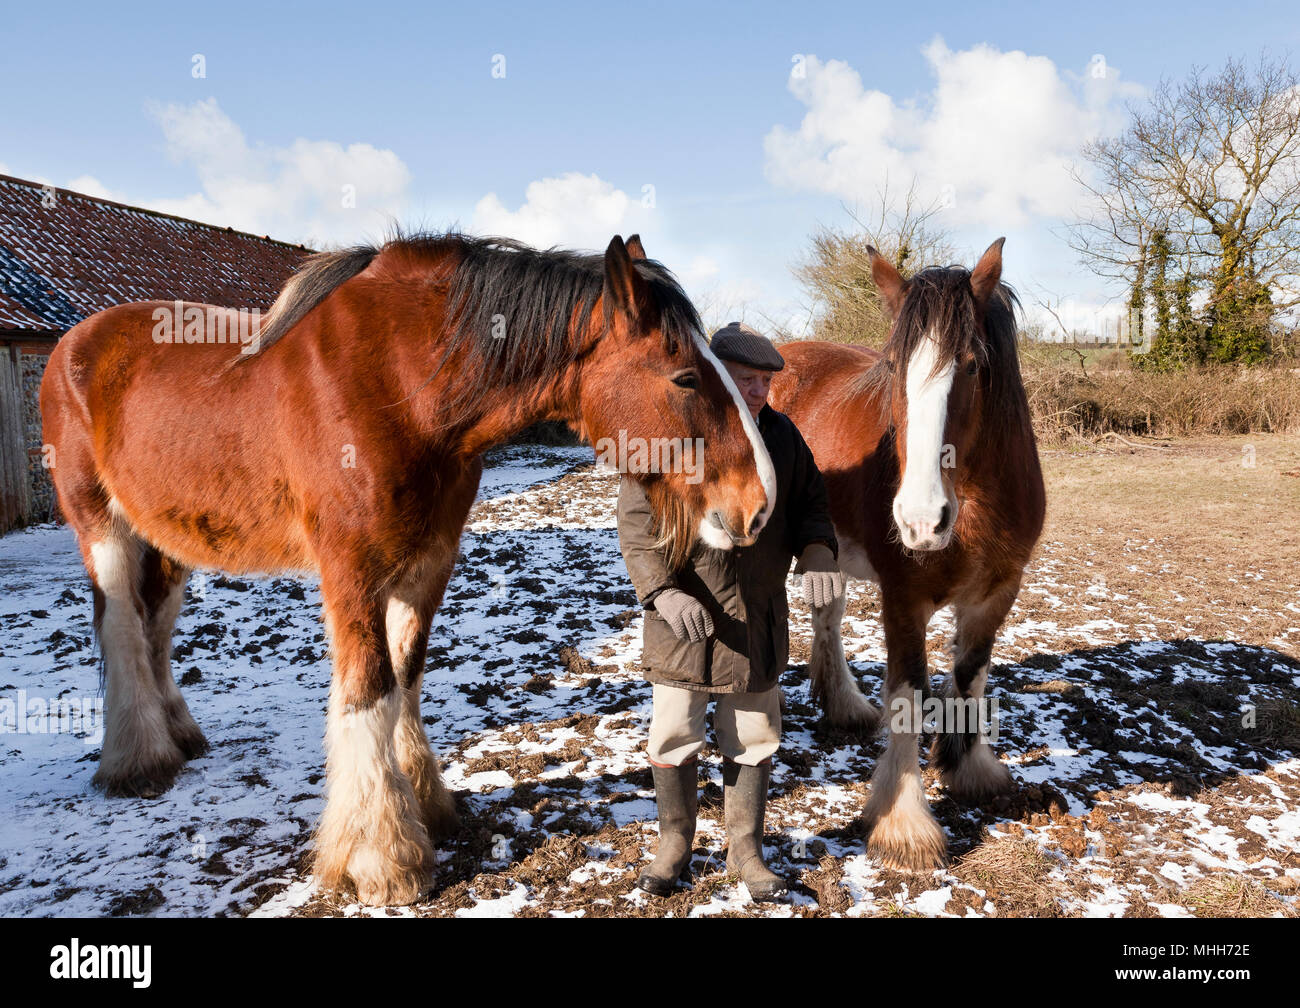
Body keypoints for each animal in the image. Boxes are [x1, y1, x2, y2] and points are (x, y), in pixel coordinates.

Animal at [40, 231, 777, 905]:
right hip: (102, 528)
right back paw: (137, 760)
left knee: (155, 628)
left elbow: (406, 676)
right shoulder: (351, 572)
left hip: (169, 540)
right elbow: (369, 690)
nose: (760, 504)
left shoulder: (426, 564)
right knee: (120, 628)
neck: (398, 388)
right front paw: (381, 858)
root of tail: (73, 346)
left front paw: (425, 801)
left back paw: (179, 735)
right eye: (685, 377)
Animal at [769, 238, 1045, 871]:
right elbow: (909, 693)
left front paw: (970, 767)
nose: (921, 520)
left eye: (972, 364)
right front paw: (903, 822)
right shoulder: (904, 597)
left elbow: (969, 675)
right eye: (895, 368)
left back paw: (844, 705)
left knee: (827, 618)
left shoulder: (999, 592)